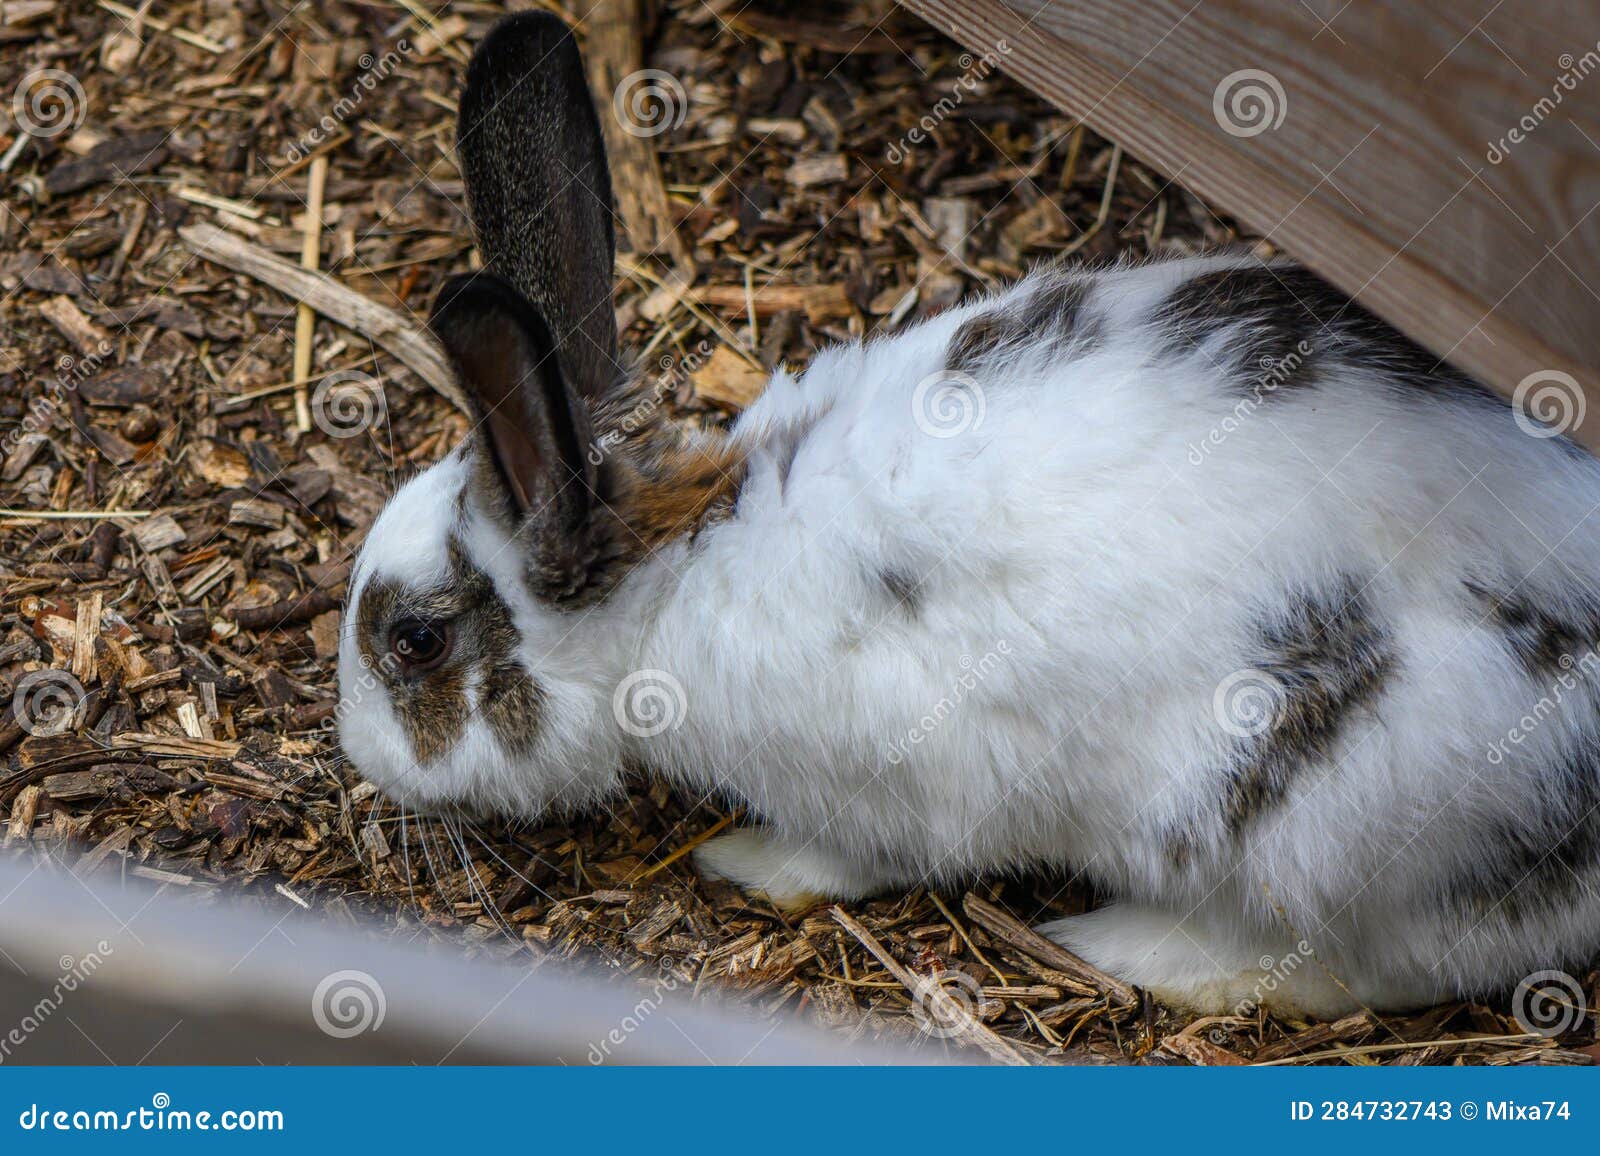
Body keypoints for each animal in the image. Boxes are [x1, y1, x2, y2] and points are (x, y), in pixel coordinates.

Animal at [338, 11, 1600, 1019]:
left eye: (415, 640)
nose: (357, 754)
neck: (676, 567)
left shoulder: (887, 792)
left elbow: (850, 857)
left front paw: (748, 861)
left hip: (1330, 824)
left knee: (1373, 969)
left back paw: (1125, 945)